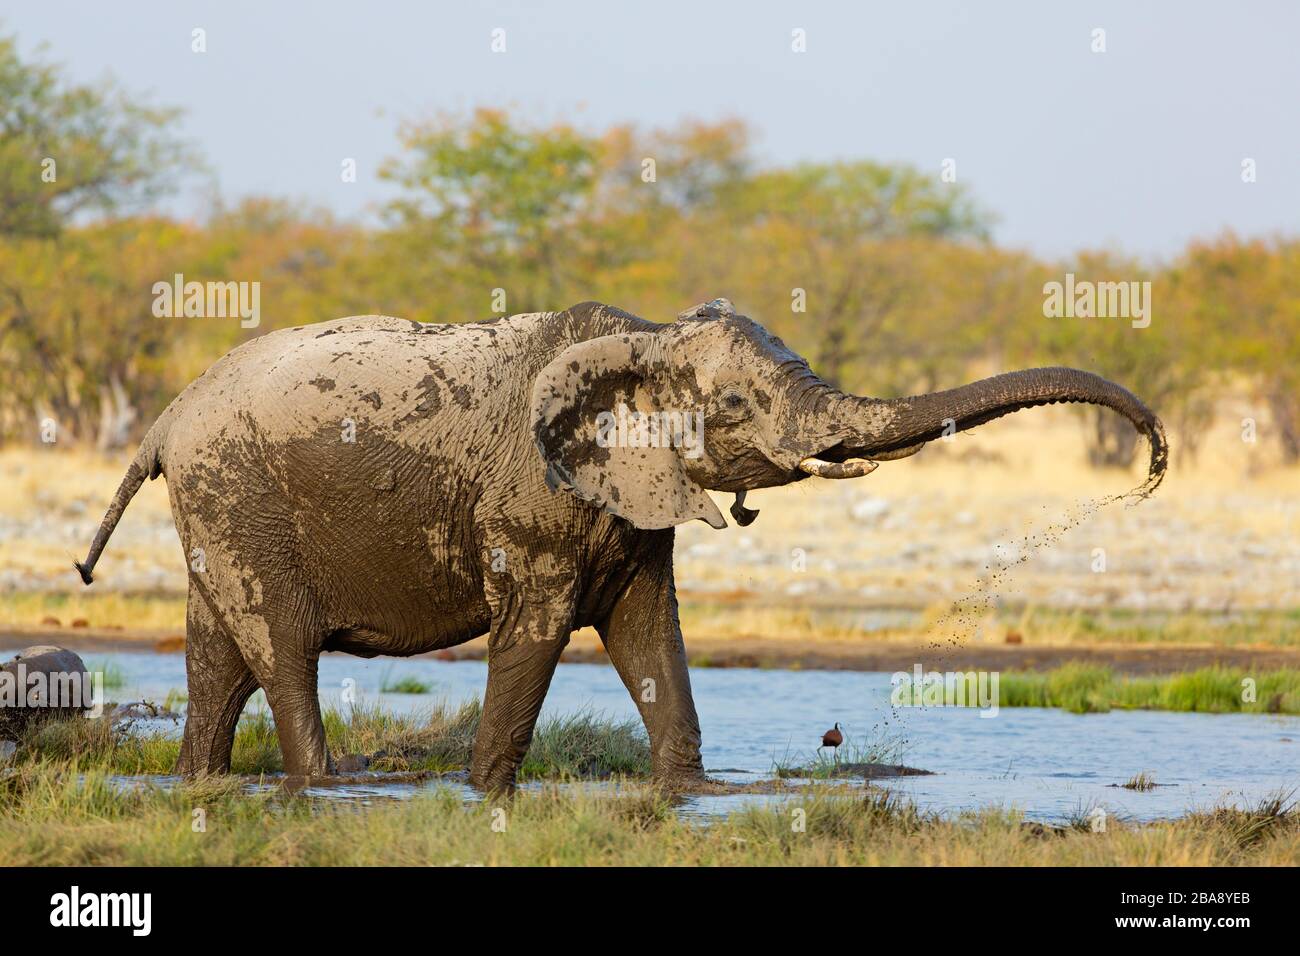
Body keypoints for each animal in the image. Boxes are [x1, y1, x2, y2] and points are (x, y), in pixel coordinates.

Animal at [75, 298, 1167, 791]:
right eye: (736, 407)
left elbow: (652, 636)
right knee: (283, 651)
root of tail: (164, 421)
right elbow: (539, 630)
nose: (1153, 465)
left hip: (221, 508)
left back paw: (200, 784)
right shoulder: (532, 503)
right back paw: (325, 789)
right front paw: (486, 793)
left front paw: (690, 793)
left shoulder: (633, 505)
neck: (642, 340)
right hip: (237, 493)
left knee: (218, 661)